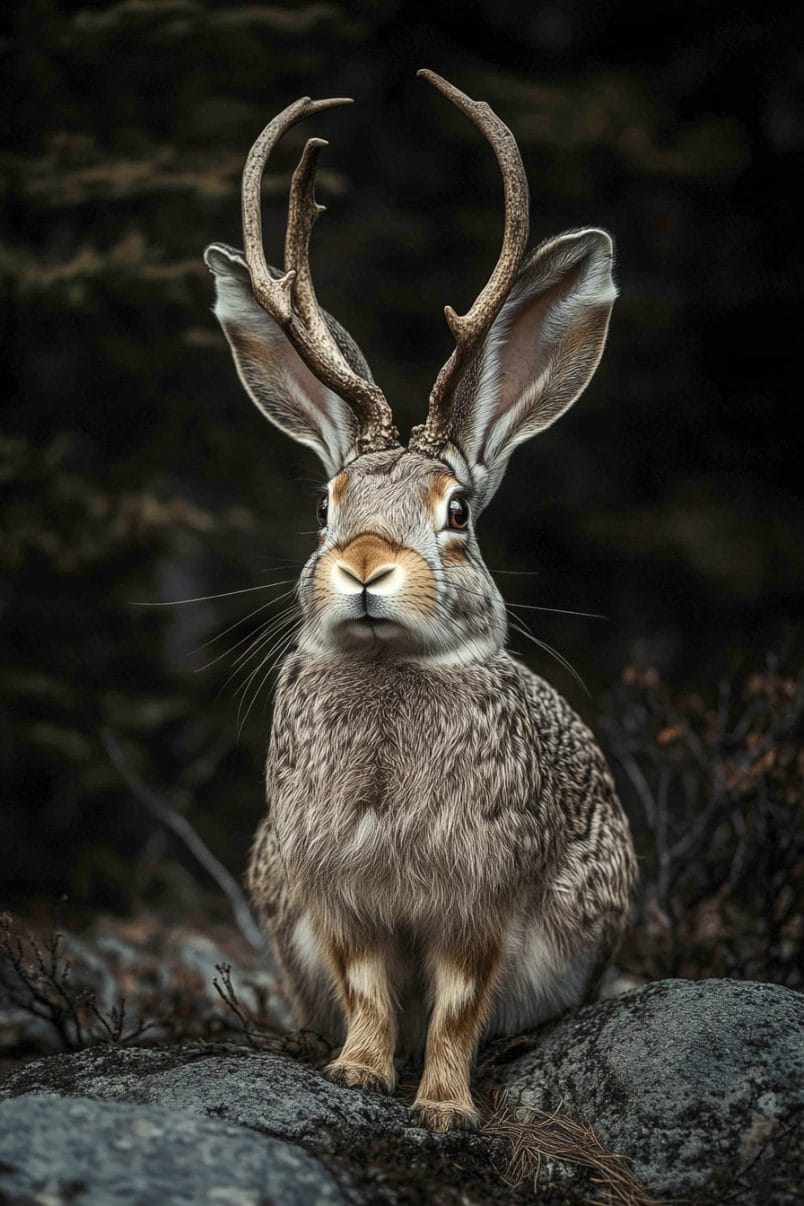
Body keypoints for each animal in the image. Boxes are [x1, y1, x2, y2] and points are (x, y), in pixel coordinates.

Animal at [204, 70, 637, 1132]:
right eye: (325, 504)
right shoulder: (336, 899)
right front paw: (360, 1074)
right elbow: (367, 989)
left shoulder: (481, 906)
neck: (389, 669)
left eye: (458, 511)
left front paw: (442, 1108)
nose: (364, 564)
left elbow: (456, 1004)